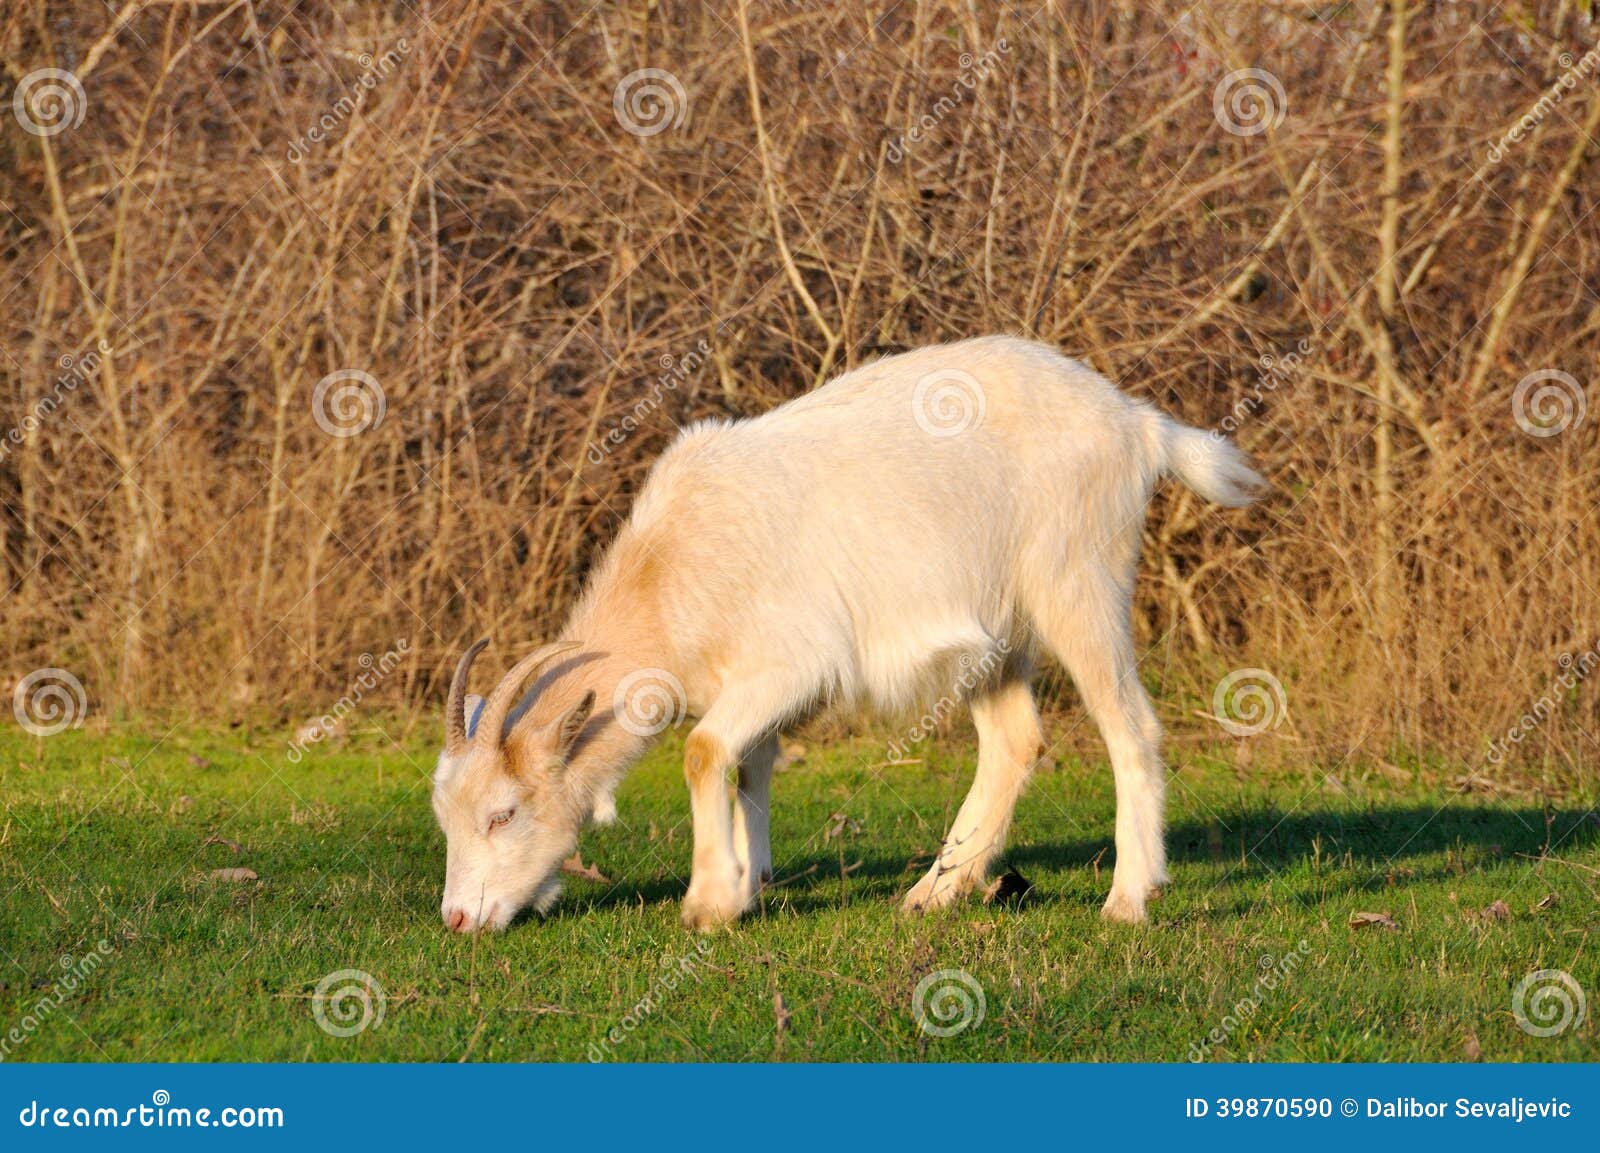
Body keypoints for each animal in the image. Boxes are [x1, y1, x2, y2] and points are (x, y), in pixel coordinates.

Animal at [431, 335, 1262, 932]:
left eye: (503, 811)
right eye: (447, 815)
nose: (459, 918)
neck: (670, 570)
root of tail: (1138, 424)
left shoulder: (793, 662)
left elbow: (703, 752)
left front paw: (708, 903)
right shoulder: (751, 684)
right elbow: (749, 765)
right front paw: (750, 885)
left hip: (1079, 582)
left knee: (1130, 726)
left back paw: (1128, 898)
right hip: (995, 635)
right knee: (1014, 741)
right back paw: (936, 891)